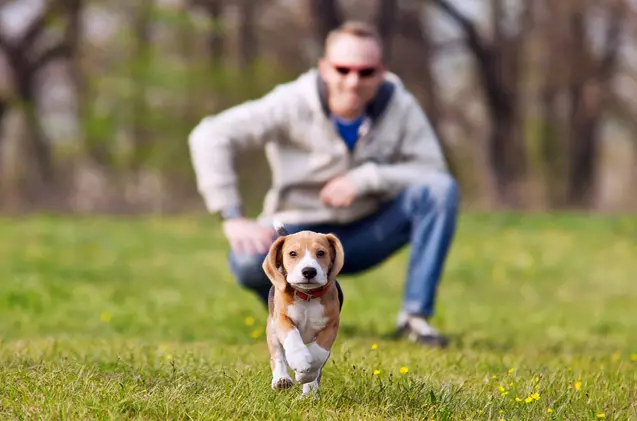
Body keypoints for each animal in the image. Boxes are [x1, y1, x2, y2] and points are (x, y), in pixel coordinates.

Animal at [262, 223, 346, 398]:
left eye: (321, 253)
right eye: (292, 253)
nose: (309, 271)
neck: (307, 296)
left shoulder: (331, 326)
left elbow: (318, 353)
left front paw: (305, 375)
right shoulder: (281, 318)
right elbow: (292, 336)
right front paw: (299, 359)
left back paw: (309, 393)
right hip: (271, 329)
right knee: (277, 356)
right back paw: (281, 379)